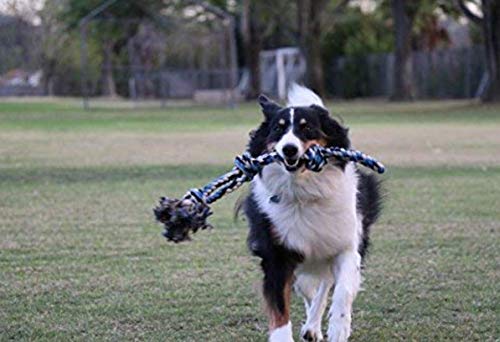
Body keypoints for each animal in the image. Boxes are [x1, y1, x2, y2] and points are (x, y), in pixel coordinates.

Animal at [242, 84, 382, 340]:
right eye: (278, 129)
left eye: (307, 128)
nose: (289, 149)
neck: (303, 193)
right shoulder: (277, 253)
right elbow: (280, 308)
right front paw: (283, 336)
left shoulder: (346, 245)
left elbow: (343, 289)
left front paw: (339, 327)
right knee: (309, 290)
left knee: (324, 287)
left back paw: (314, 327)